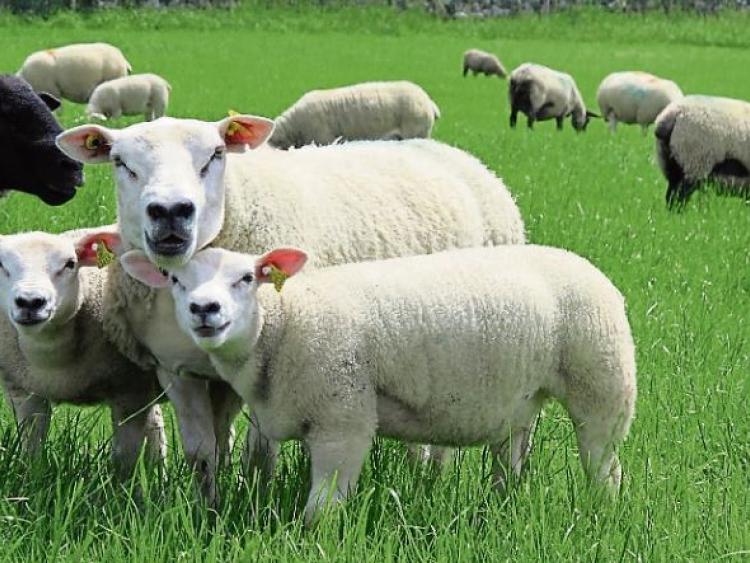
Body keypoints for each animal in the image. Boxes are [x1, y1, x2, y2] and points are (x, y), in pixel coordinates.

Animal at [0, 228, 165, 476]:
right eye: (1, 265)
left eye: (70, 264)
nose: (30, 302)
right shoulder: (24, 393)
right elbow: (31, 450)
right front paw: (31, 477)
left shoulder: (130, 390)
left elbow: (126, 457)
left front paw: (123, 485)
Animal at [55, 114, 526, 504]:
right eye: (120, 162)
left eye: (216, 154)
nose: (171, 211)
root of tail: (459, 156)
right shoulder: (177, 370)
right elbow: (203, 453)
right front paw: (208, 510)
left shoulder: (278, 362)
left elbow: (259, 455)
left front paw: (256, 505)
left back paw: (441, 483)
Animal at [121, 243, 637, 525]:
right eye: (175, 281)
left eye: (247, 278)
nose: (204, 310)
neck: (285, 322)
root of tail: (583, 263)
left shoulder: (343, 418)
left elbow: (321, 510)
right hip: (522, 400)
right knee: (510, 463)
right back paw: (501, 509)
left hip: (602, 384)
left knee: (605, 468)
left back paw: (603, 514)